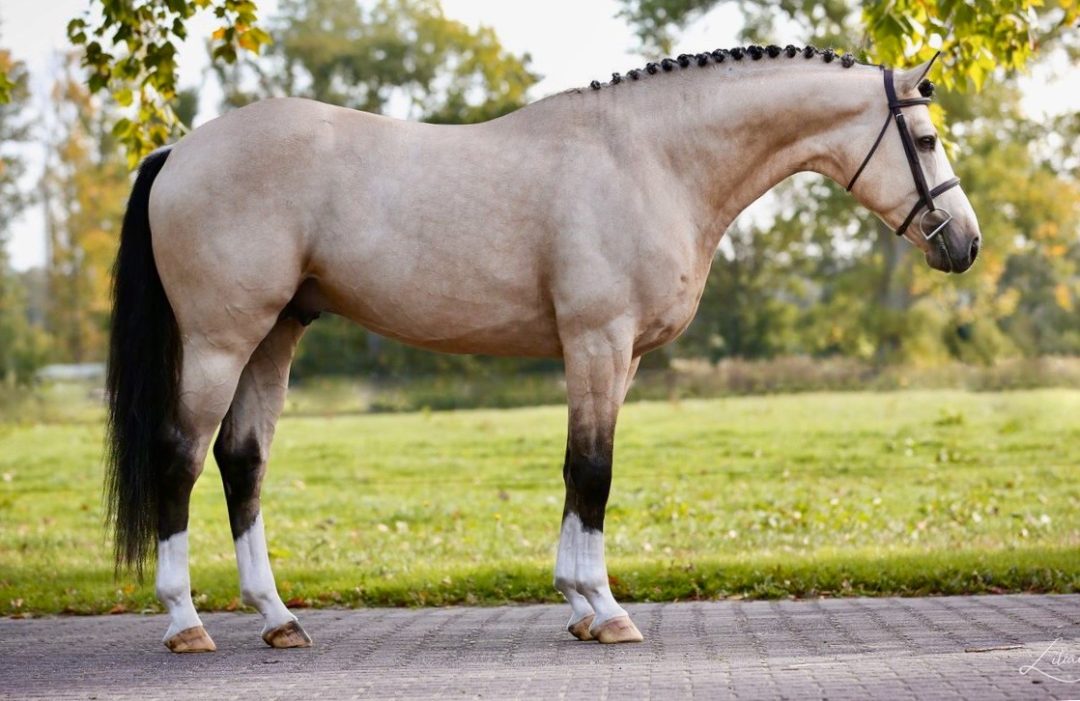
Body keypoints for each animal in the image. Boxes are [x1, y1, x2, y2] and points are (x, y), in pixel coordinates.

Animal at [105, 45, 981, 652]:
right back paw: (185, 622)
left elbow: (576, 468)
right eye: (926, 139)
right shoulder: (598, 339)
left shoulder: (619, 356)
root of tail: (180, 151)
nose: (965, 243)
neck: (650, 159)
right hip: (221, 339)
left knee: (242, 461)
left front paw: (581, 607)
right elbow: (593, 469)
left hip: (275, 334)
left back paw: (279, 617)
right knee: (181, 459)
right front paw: (608, 610)